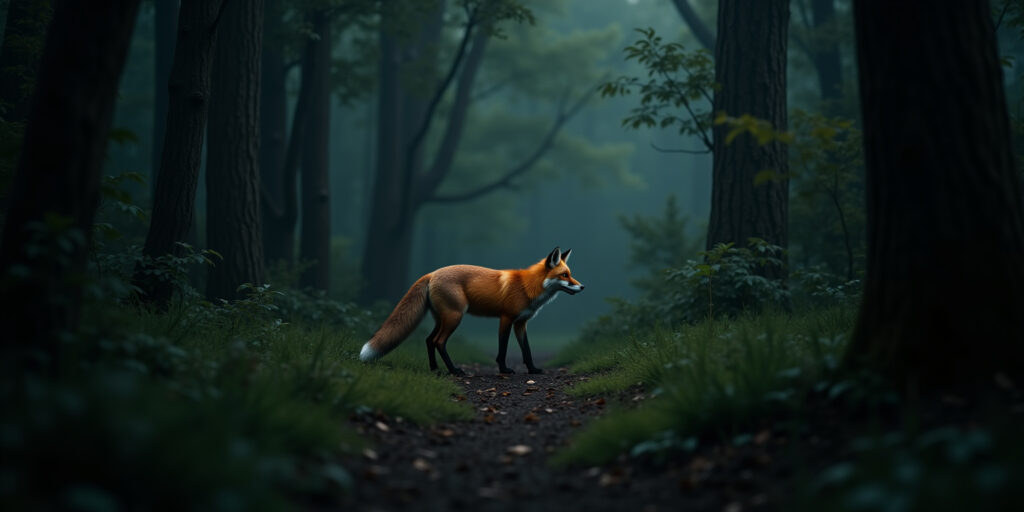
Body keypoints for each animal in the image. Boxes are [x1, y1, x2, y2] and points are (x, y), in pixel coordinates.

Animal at [359, 247, 584, 375]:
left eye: (570, 274)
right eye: (564, 275)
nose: (582, 287)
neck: (528, 287)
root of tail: (431, 273)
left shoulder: (521, 323)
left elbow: (526, 350)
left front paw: (533, 370)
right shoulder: (506, 318)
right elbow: (502, 349)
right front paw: (504, 370)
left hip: (441, 319)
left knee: (429, 340)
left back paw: (435, 369)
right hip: (454, 317)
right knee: (438, 342)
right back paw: (454, 371)